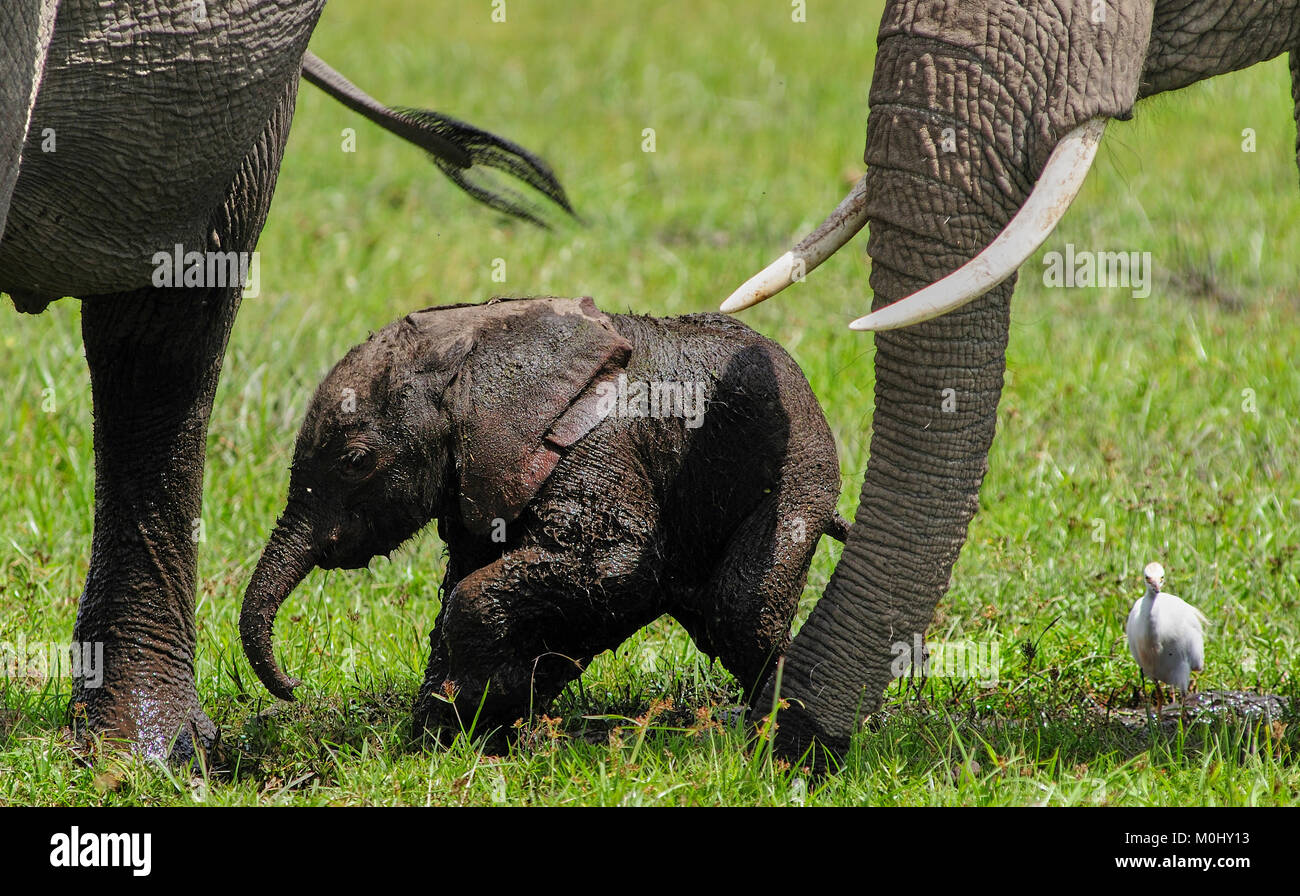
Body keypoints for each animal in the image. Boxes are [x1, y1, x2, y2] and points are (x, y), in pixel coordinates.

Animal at [238, 296, 846, 738]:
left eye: (356, 461)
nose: (296, 685)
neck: (473, 339)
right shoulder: (480, 476)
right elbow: (472, 575)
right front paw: (450, 727)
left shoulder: (598, 442)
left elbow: (616, 566)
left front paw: (470, 710)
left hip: (801, 472)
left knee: (741, 611)